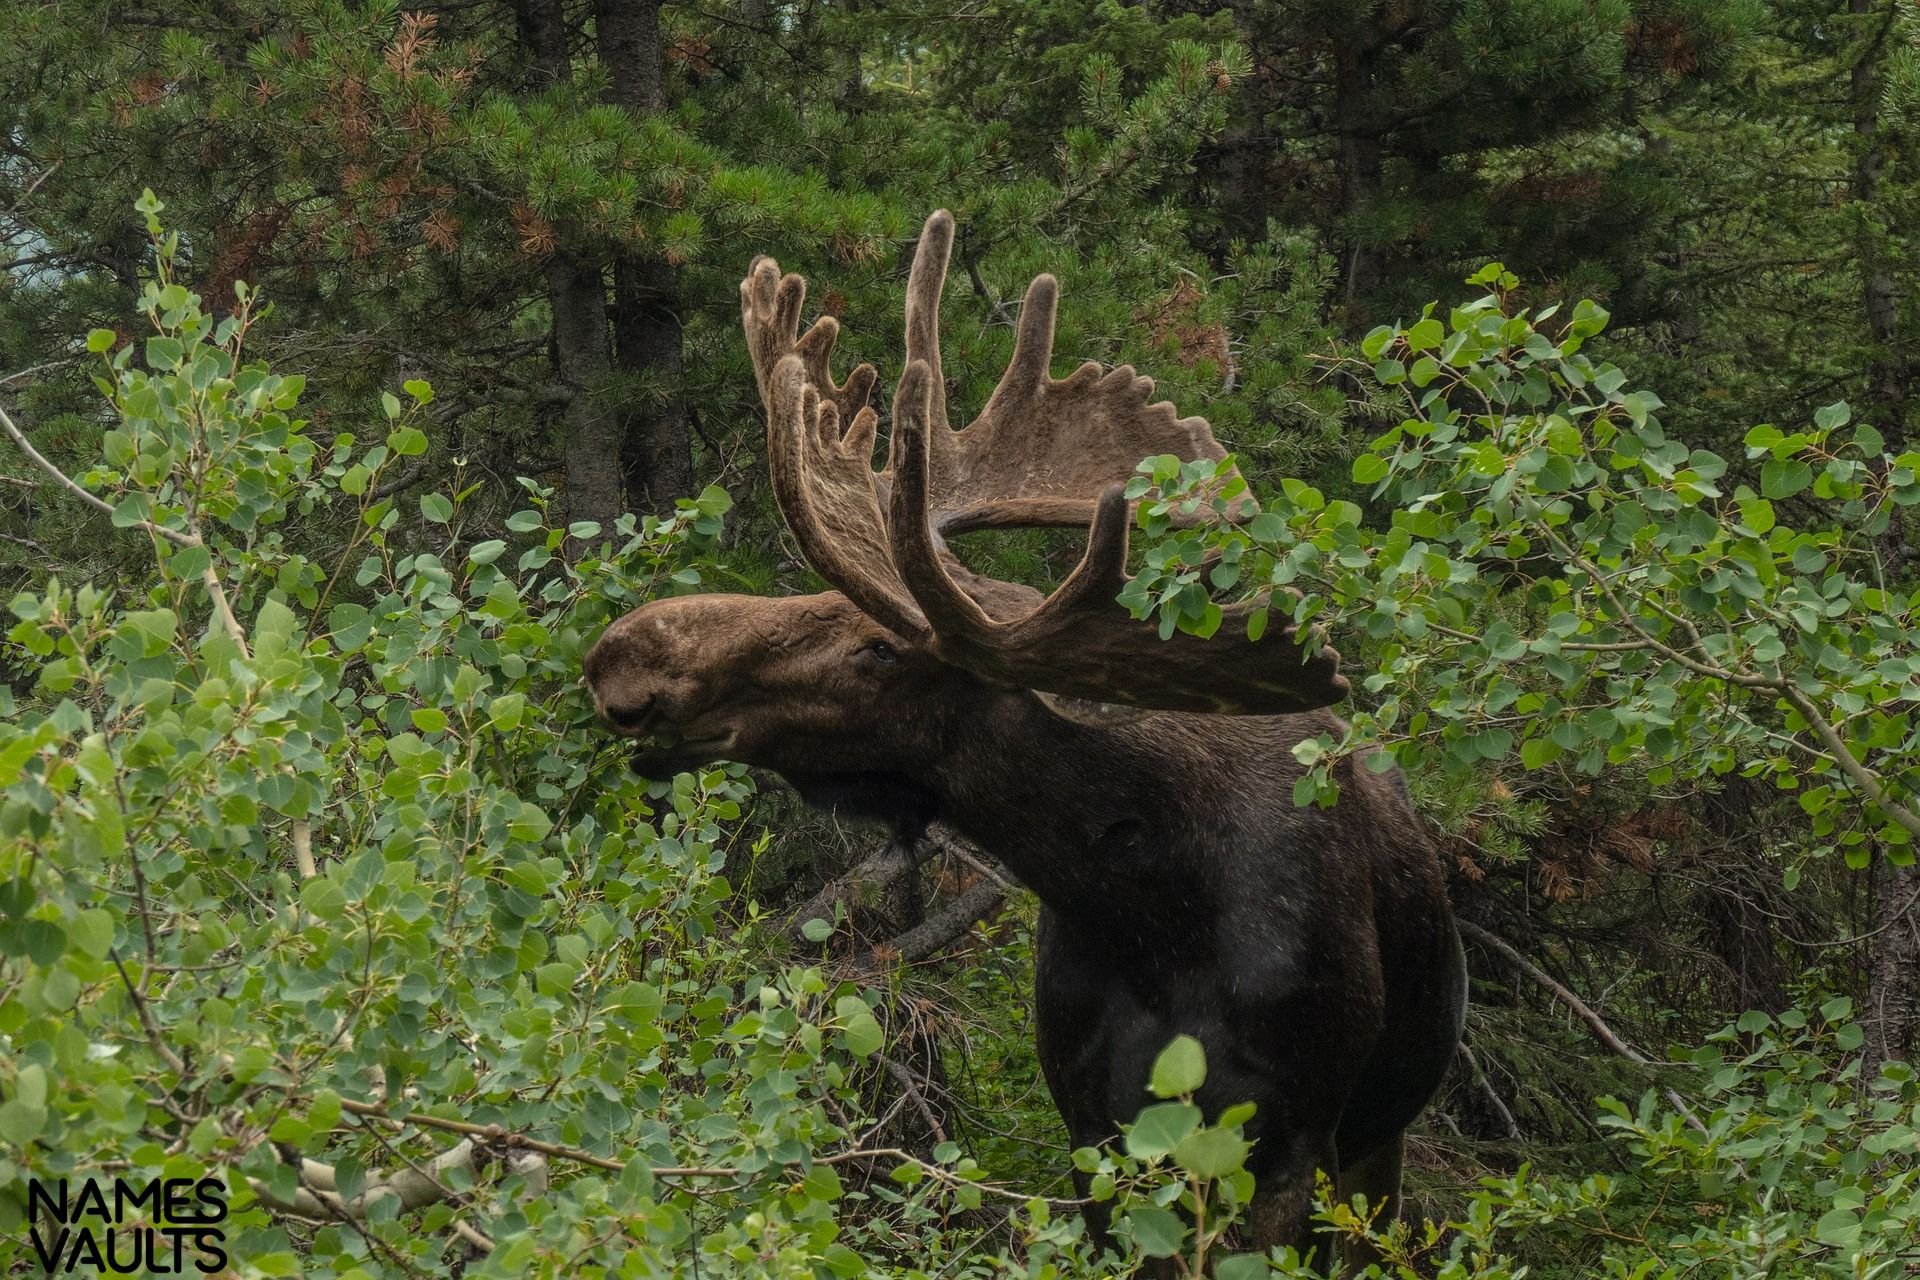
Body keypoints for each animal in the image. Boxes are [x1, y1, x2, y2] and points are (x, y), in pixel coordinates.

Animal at [583, 210, 1467, 1271]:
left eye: (877, 647)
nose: (622, 654)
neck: (1145, 905)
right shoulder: (1093, 1128)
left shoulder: (1290, 1139)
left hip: (1379, 1140)